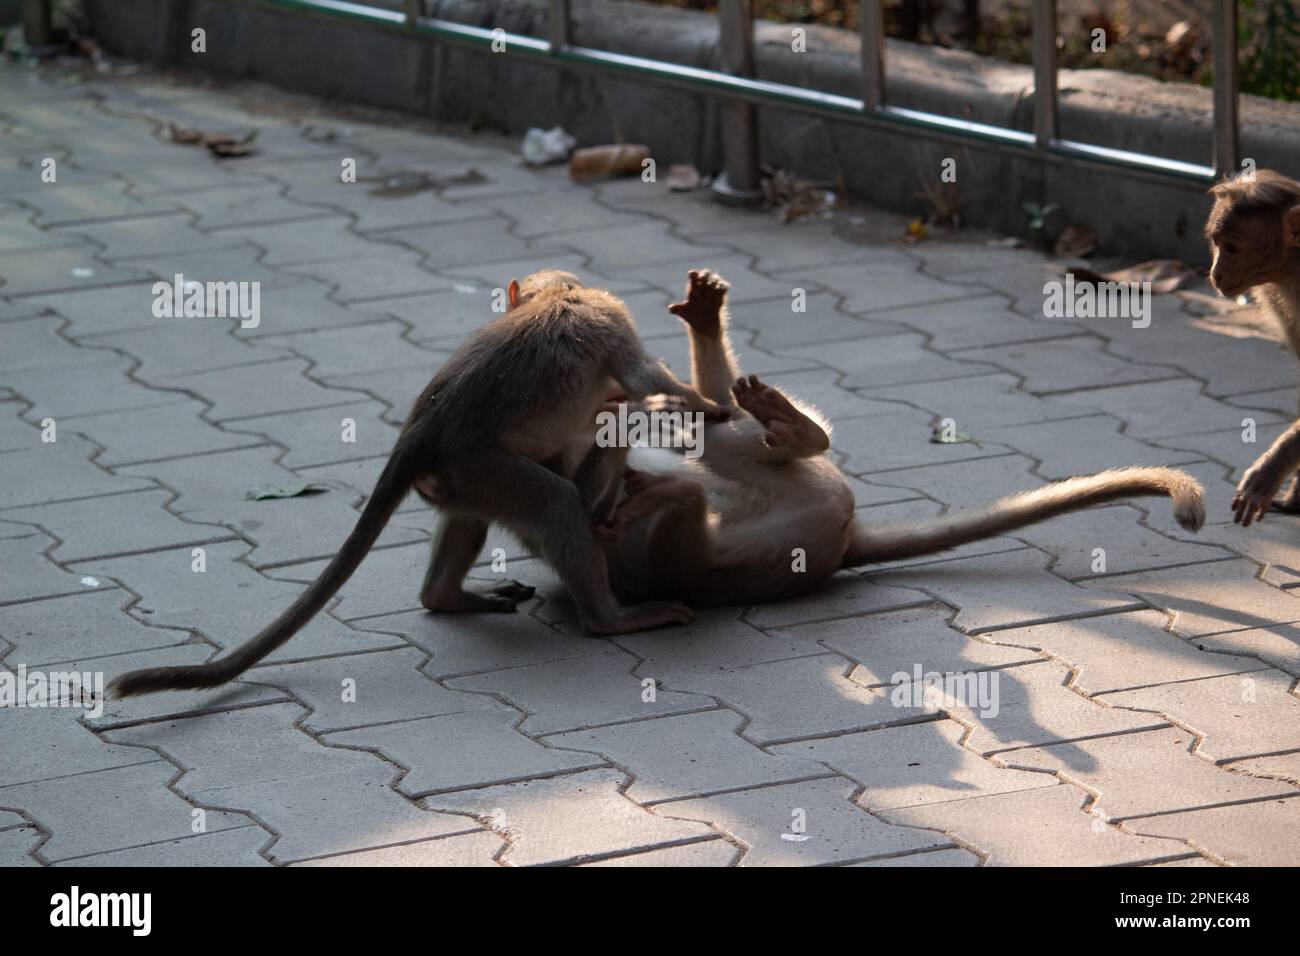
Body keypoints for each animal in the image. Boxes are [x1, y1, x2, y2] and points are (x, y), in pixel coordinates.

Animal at [109, 270, 729, 697]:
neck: (556, 296)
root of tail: (424, 430)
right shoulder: (611, 318)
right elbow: (641, 379)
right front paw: (706, 405)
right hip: (477, 461)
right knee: (558, 496)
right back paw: (609, 618)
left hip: (458, 475)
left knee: (475, 513)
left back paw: (446, 596)